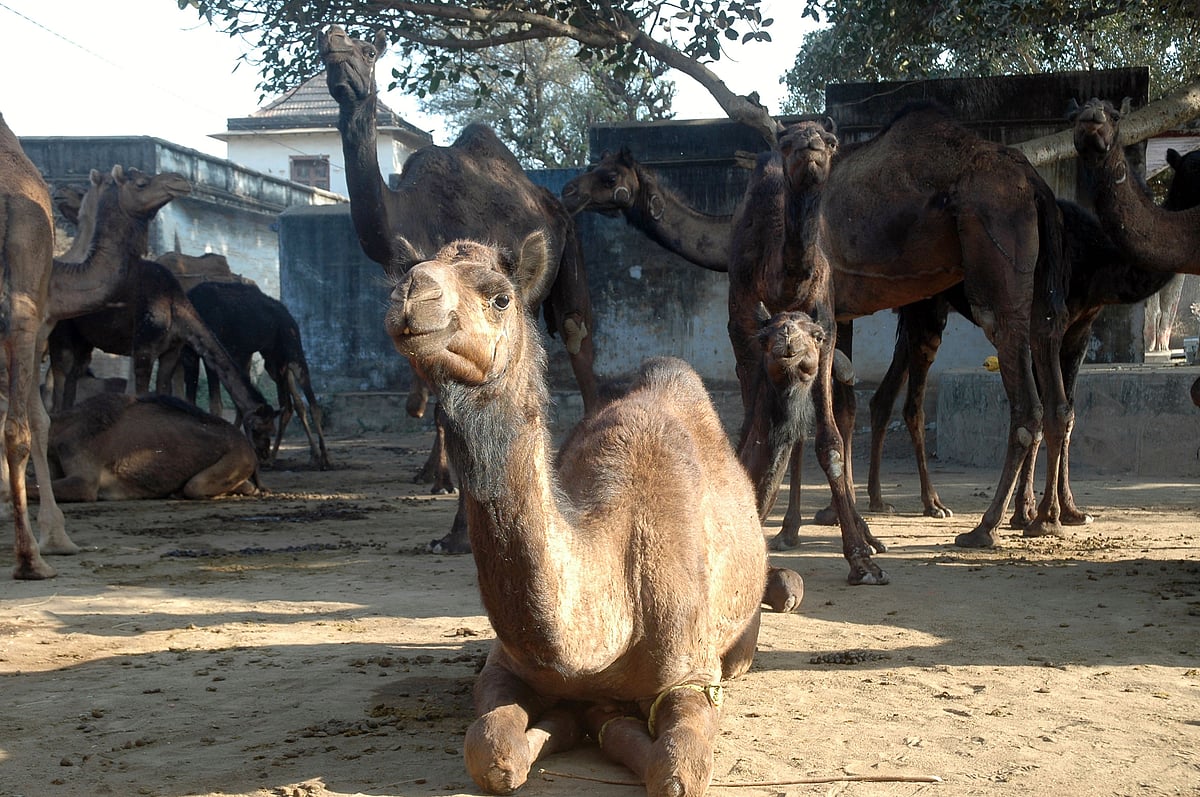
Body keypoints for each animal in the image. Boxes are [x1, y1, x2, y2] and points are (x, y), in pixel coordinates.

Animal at [182, 281, 330, 469]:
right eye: (258, 430)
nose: (263, 451)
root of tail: (289, 316)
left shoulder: (214, 353)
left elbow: (216, 405)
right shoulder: (189, 356)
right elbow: (191, 402)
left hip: (292, 351)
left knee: (306, 403)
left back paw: (321, 457)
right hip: (273, 361)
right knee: (292, 404)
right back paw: (304, 456)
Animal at [319, 25, 602, 553]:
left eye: (368, 52)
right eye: (322, 50)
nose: (336, 45)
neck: (406, 213)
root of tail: (553, 201)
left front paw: (458, 530)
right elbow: (442, 409)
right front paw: (448, 507)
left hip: (570, 257)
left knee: (580, 341)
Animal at [388, 234, 767, 797]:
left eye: (500, 297)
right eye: (404, 273)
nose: (412, 295)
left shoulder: (694, 675)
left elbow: (674, 772)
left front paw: (601, 720)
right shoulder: (504, 664)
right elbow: (490, 752)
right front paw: (569, 721)